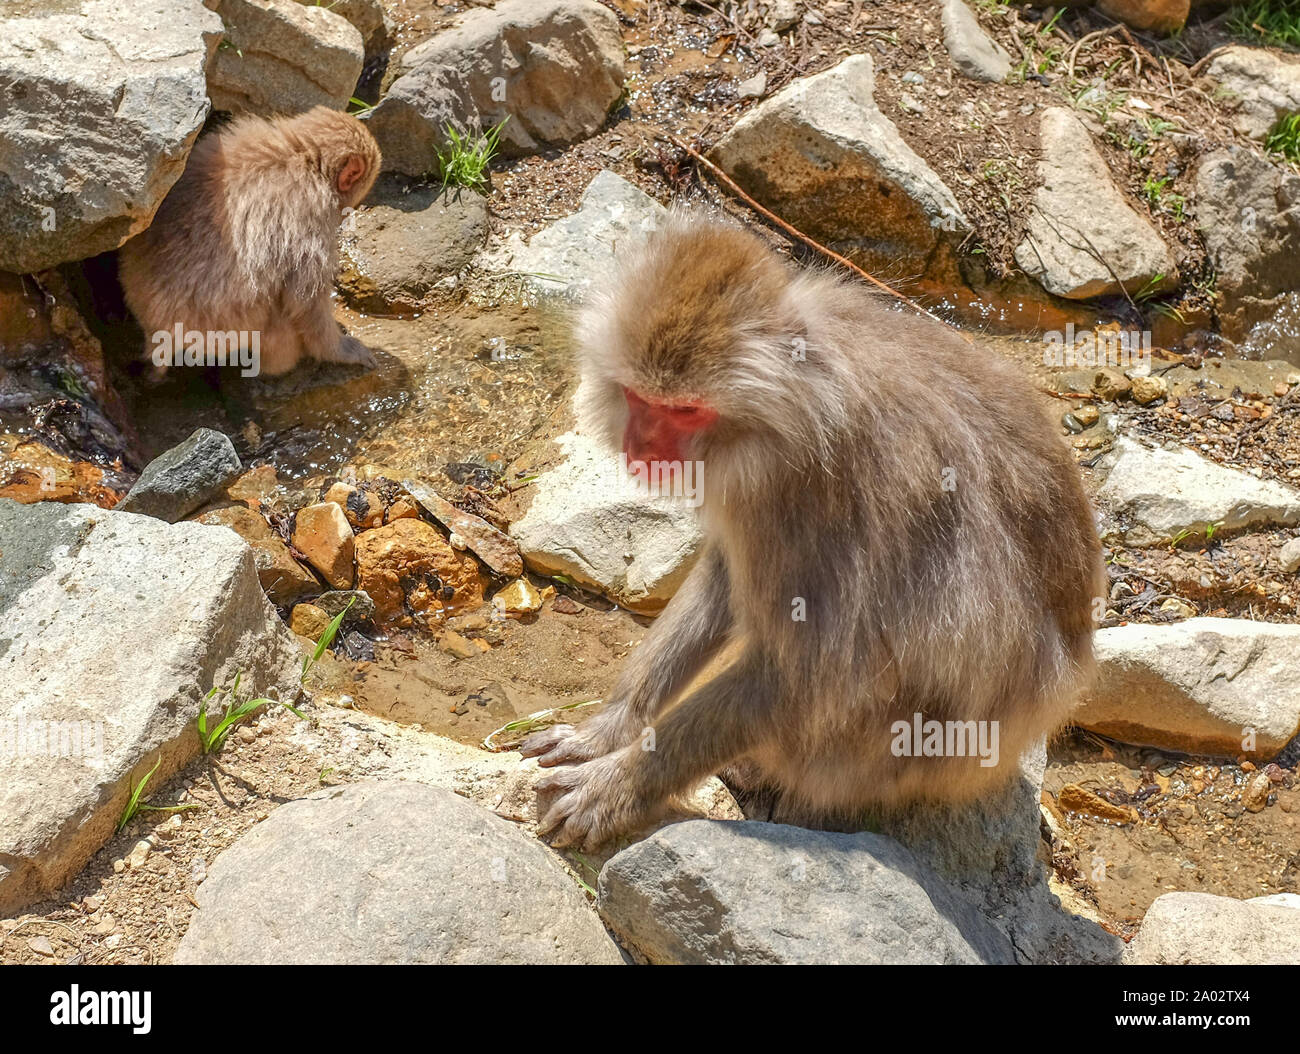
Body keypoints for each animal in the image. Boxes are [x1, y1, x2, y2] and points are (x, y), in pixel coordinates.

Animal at [118, 106, 381, 378]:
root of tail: (156, 333)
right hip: (226, 331)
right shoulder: (312, 214)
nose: (348, 215)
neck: (303, 156)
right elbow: (304, 300)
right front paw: (341, 351)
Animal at [520, 216, 1104, 849]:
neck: (797, 402)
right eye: (638, 396)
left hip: (895, 757)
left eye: (686, 411)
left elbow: (808, 677)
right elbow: (725, 577)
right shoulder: (752, 501)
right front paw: (608, 730)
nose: (641, 448)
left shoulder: (808, 500)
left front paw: (618, 786)